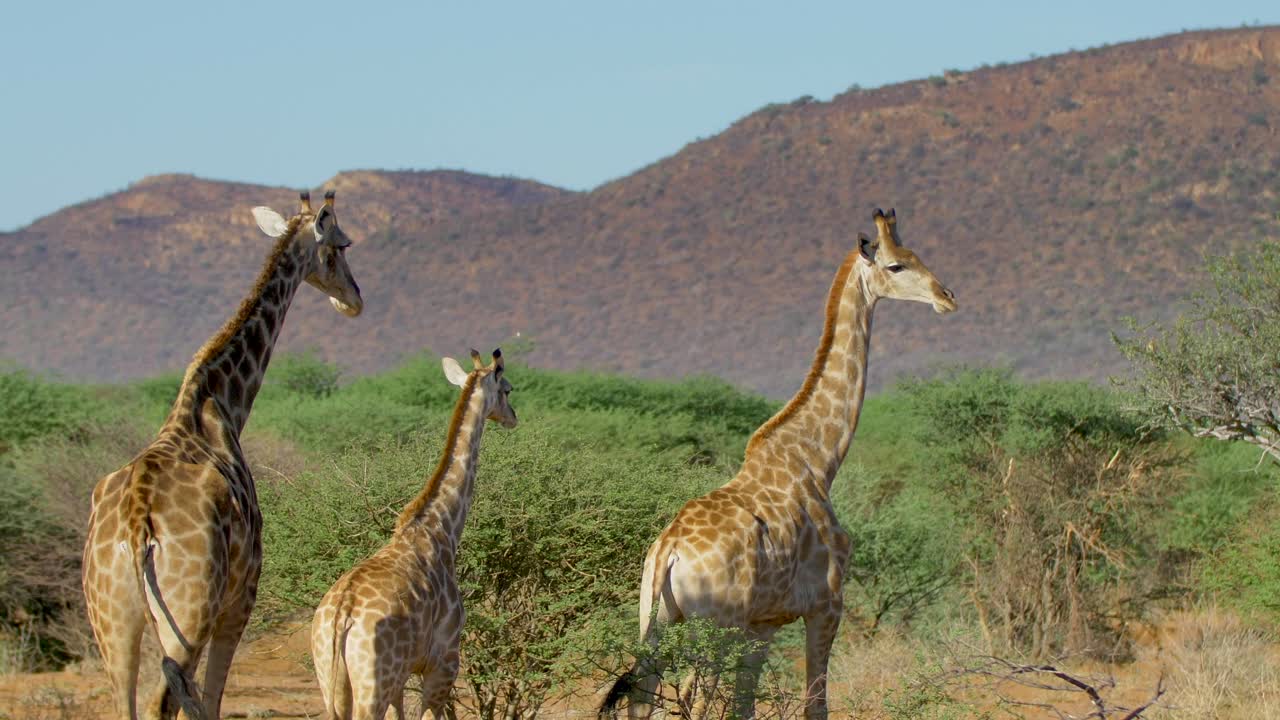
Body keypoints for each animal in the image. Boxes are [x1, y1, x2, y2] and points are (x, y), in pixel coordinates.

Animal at [81, 191, 364, 720]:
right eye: (342, 244)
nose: (354, 299)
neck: (221, 401)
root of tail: (135, 526)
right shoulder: (243, 594)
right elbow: (210, 700)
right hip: (187, 615)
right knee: (162, 700)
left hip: (111, 617)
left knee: (126, 700)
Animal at [310, 349, 516, 720]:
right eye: (508, 389)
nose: (513, 417)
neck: (441, 527)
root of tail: (340, 617)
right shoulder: (443, 661)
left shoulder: (404, 676)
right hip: (374, 683)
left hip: (331, 680)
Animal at [599, 209, 957, 720]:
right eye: (896, 265)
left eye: (917, 254)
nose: (947, 297)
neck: (819, 459)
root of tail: (668, 549)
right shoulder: (827, 604)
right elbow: (816, 705)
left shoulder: (763, 624)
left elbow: (744, 707)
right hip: (714, 625)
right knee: (691, 700)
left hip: (655, 620)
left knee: (642, 698)